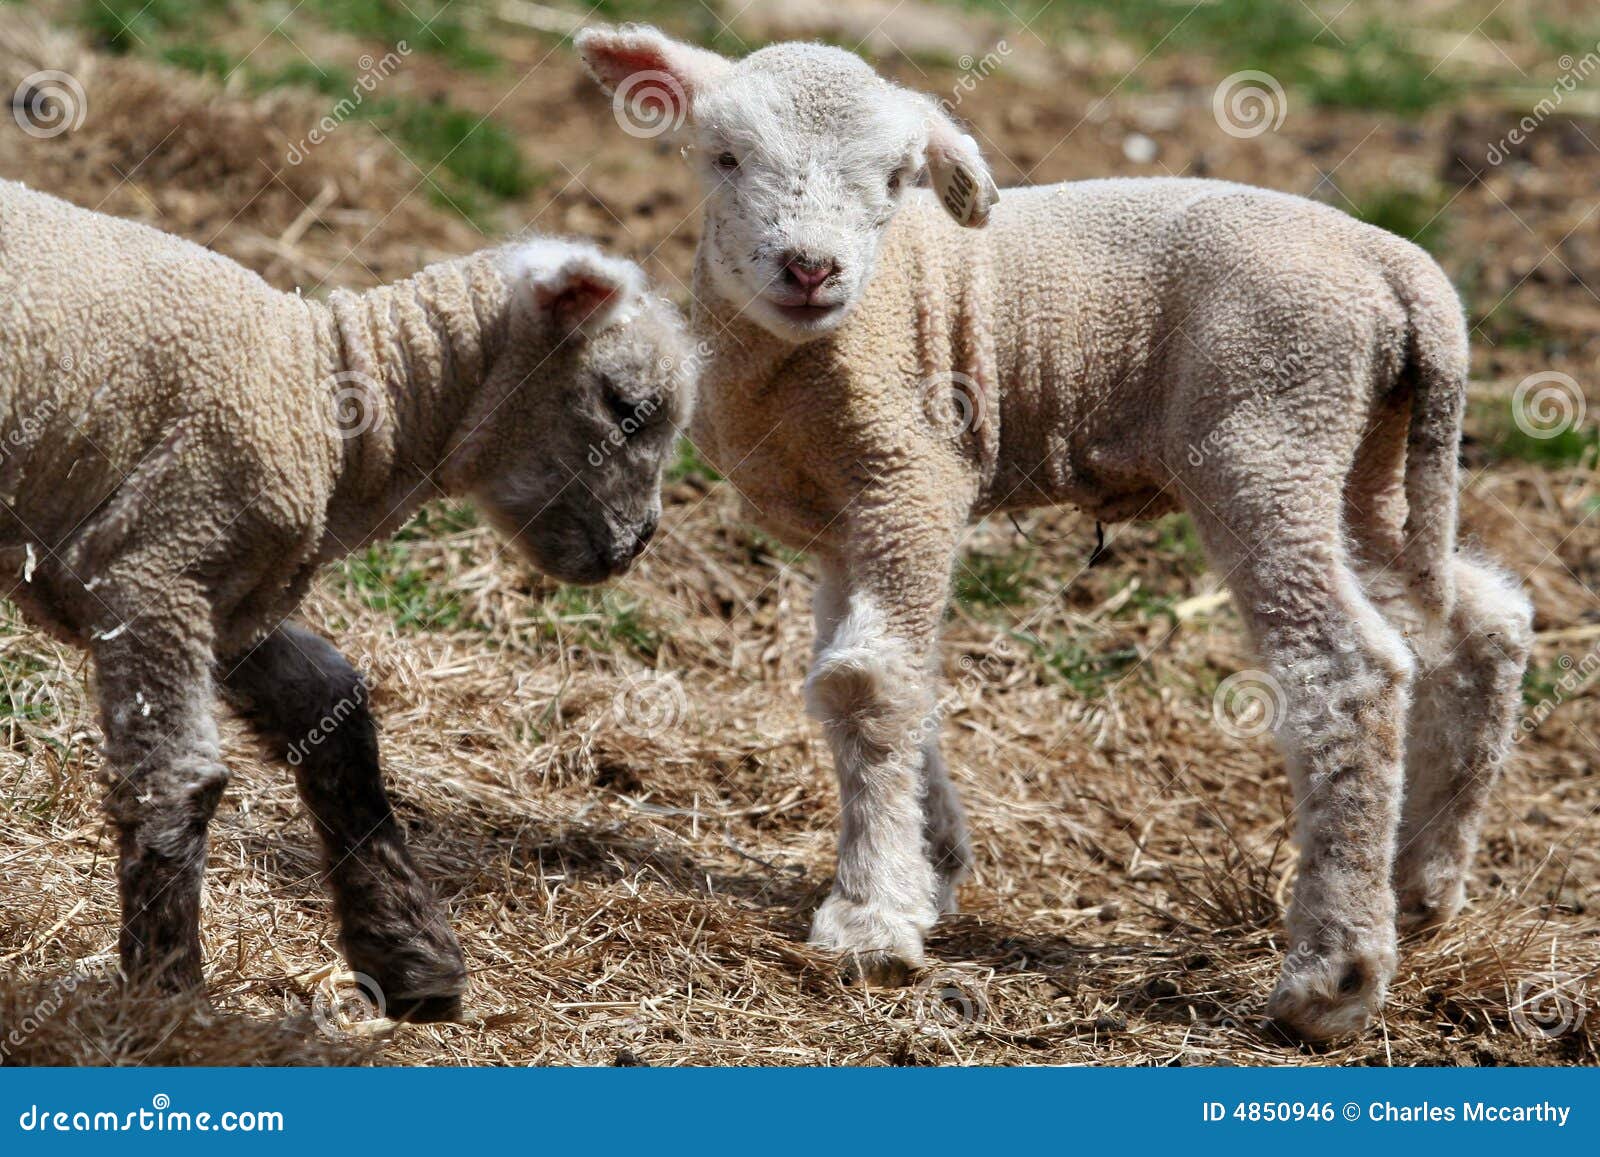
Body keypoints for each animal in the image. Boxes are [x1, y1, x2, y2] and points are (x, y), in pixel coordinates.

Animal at [0, 180, 693, 1019]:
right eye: (624, 404)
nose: (641, 540)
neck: (332, 395)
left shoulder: (226, 592)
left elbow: (334, 707)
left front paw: (411, 954)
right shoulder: (157, 562)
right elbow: (178, 778)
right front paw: (170, 1000)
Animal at [575, 26, 1534, 1041]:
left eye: (896, 178)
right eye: (724, 157)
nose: (810, 269)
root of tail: (1406, 273)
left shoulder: (909, 477)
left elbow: (869, 682)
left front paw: (872, 919)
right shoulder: (848, 522)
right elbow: (880, 678)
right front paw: (929, 865)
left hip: (1270, 426)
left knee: (1347, 668)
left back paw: (1333, 974)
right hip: (1369, 457)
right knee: (1480, 621)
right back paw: (1424, 883)